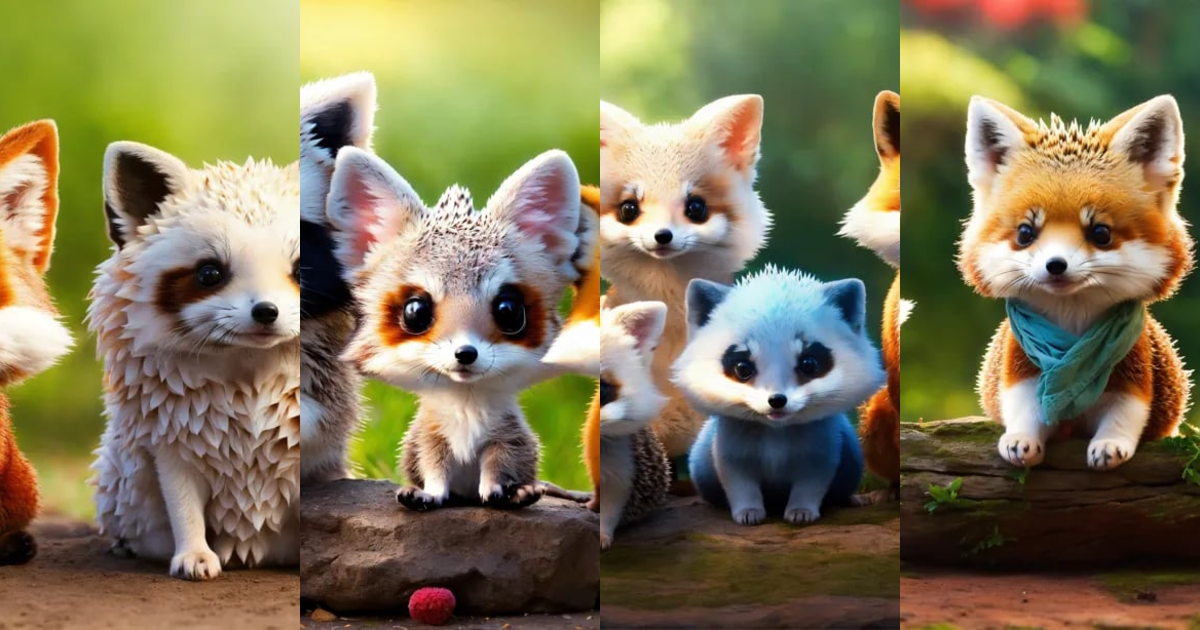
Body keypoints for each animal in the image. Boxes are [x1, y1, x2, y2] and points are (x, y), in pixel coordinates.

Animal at [89, 142, 301, 580]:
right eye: (209, 273)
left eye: (301, 269)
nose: (266, 312)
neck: (248, 369)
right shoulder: (170, 436)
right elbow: (182, 502)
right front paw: (195, 553)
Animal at [326, 147, 583, 510]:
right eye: (416, 311)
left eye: (508, 311)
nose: (465, 353)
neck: (465, 406)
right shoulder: (431, 440)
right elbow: (435, 470)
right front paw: (430, 495)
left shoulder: (506, 441)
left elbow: (495, 467)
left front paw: (496, 491)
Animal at [672, 267, 882, 525]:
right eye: (742, 368)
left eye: (809, 364)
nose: (777, 400)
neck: (776, 430)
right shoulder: (731, 440)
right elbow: (736, 477)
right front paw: (748, 512)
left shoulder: (823, 441)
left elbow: (813, 479)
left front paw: (801, 511)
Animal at [959, 95, 1194, 470]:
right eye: (1026, 233)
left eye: (1100, 233)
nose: (1056, 265)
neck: (1070, 322)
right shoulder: (1022, 368)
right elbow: (1024, 411)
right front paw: (1020, 439)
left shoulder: (1133, 376)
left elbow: (1123, 418)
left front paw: (1110, 444)